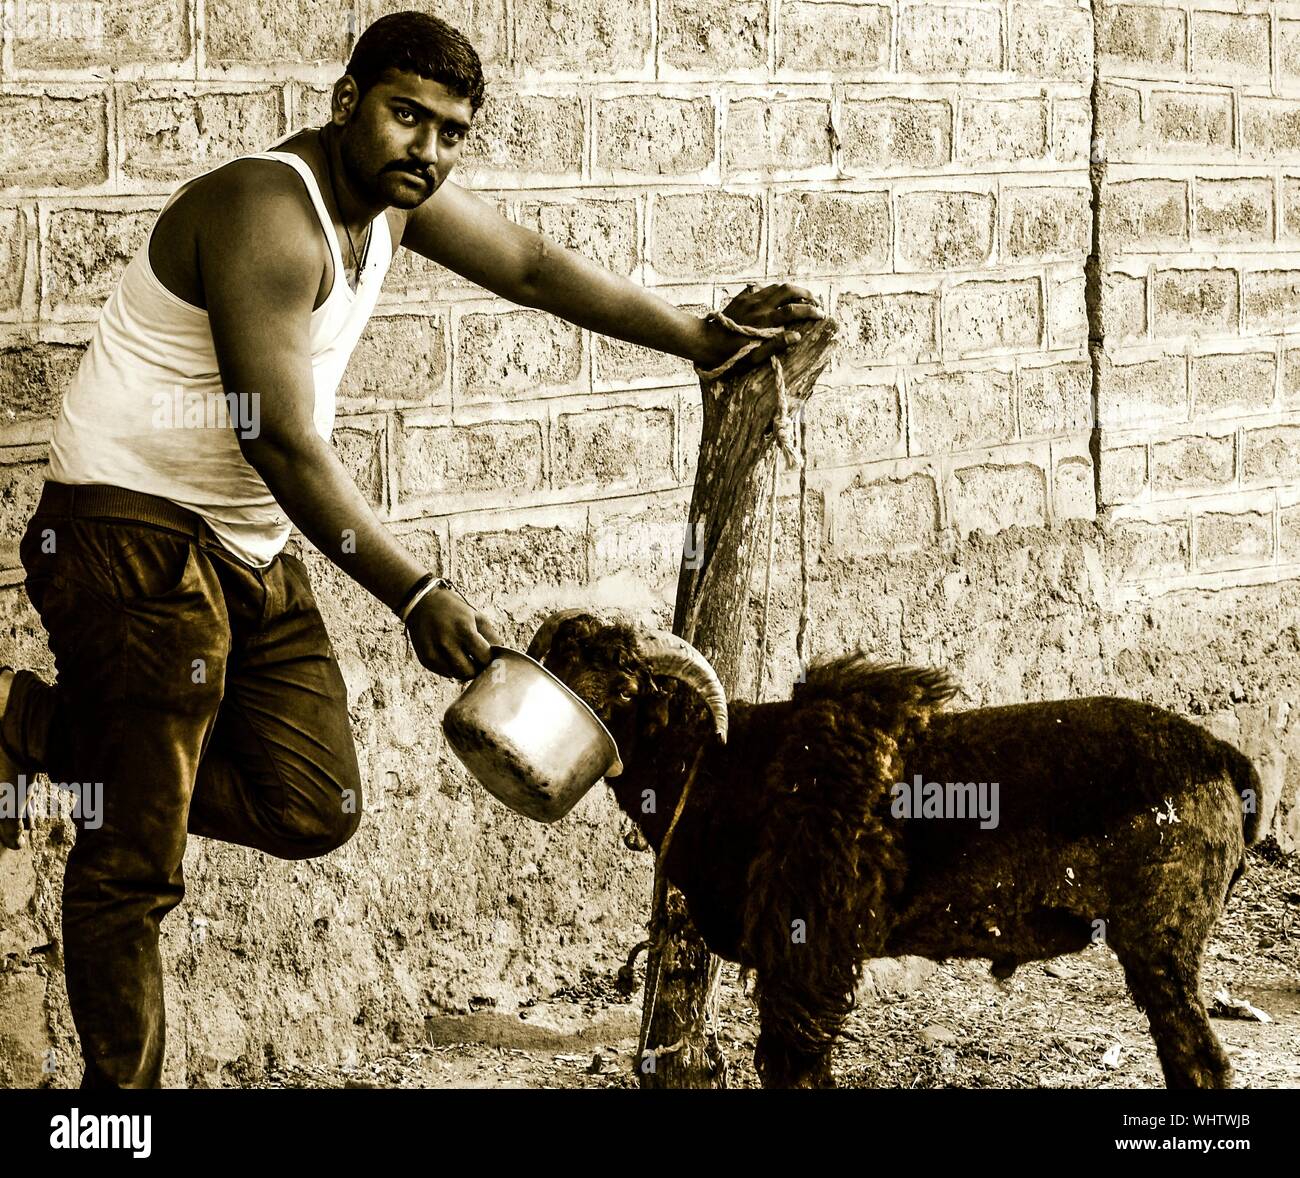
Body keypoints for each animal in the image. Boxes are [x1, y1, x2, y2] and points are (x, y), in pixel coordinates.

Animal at [525, 609, 1264, 1089]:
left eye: (625, 684)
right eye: (554, 665)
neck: (723, 768)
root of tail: (1224, 758)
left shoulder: (808, 956)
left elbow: (796, 1070)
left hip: (1160, 938)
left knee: (1202, 1063)